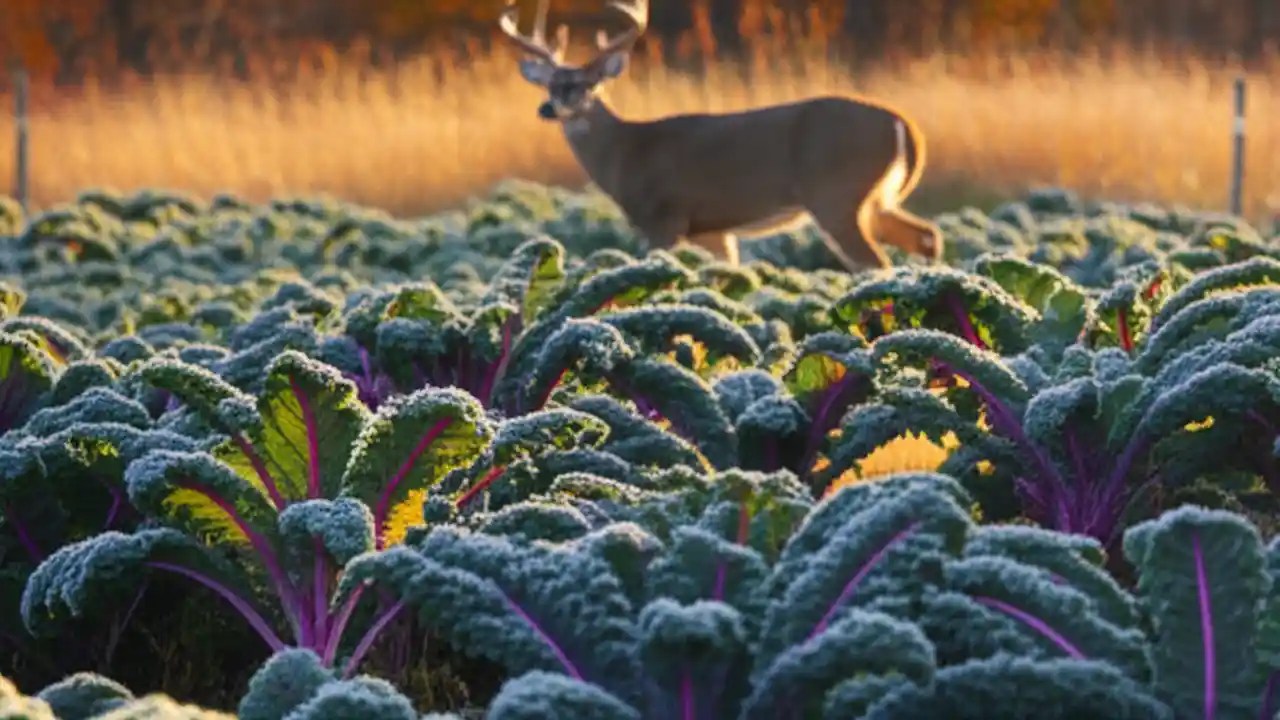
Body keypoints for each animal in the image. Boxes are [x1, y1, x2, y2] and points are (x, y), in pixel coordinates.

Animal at [498, 0, 944, 273]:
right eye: (550, 85)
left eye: (586, 85)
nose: (548, 109)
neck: (628, 155)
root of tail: (903, 123)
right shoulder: (713, 231)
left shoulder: (665, 216)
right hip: (874, 198)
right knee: (927, 235)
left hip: (837, 194)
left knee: (876, 262)